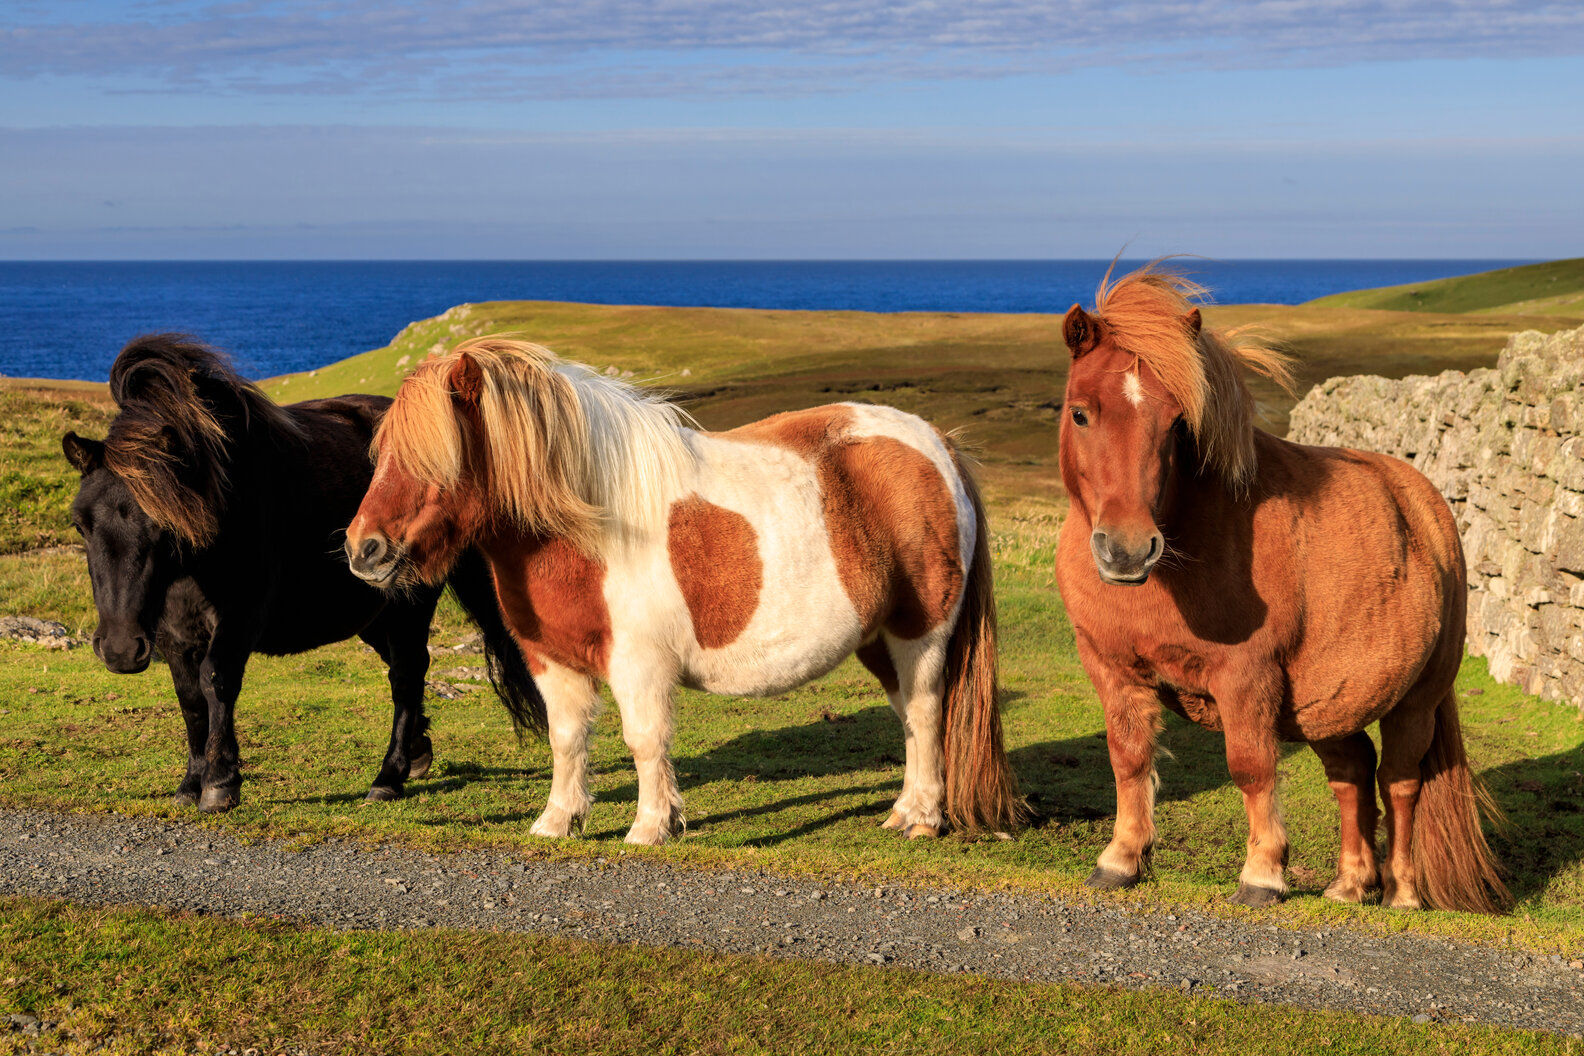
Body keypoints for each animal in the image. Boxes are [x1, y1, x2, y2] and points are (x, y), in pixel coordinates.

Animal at [62, 334, 544, 812]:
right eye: (80, 524)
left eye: (164, 528)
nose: (121, 650)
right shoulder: (171, 633)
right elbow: (190, 699)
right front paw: (190, 783)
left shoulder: (240, 618)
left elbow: (216, 682)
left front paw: (220, 783)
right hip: (371, 613)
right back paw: (417, 753)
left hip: (409, 600)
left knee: (407, 672)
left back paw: (388, 777)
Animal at [340, 337, 1023, 845]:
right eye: (383, 453)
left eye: (439, 456)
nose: (362, 549)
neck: (589, 528)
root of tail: (937, 444)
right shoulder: (553, 661)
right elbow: (567, 739)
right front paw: (558, 821)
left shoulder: (639, 664)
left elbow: (645, 741)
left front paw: (650, 827)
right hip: (877, 639)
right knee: (907, 716)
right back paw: (903, 811)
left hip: (920, 635)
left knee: (927, 712)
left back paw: (925, 820)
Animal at [1054, 265, 1509, 913]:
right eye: (1080, 413)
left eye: (1176, 424)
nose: (1127, 549)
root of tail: (1427, 506)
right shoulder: (1113, 668)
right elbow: (1128, 758)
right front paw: (1120, 859)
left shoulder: (1246, 678)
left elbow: (1251, 768)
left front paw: (1263, 873)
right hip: (1328, 703)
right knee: (1352, 773)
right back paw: (1350, 884)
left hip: (1415, 702)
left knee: (1400, 782)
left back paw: (1401, 892)